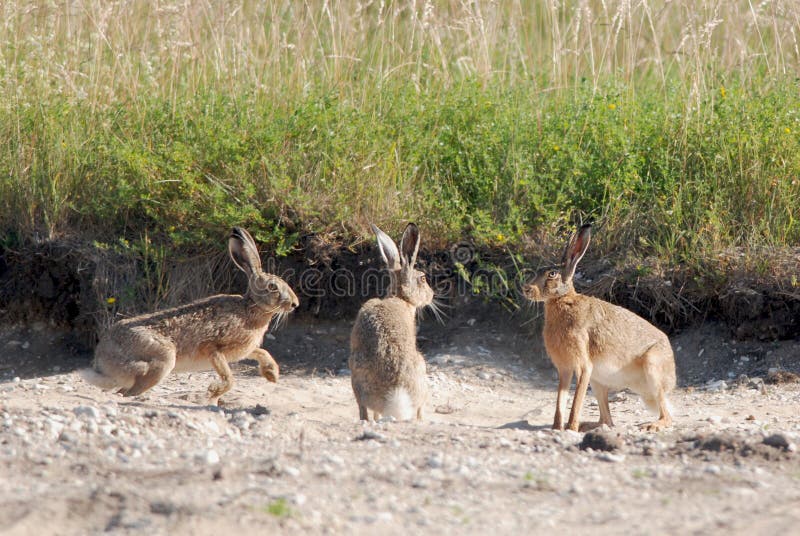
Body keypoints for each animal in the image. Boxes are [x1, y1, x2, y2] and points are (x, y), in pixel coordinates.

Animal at [81, 227, 299, 405]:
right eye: (273, 287)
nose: (295, 304)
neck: (251, 307)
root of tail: (101, 361)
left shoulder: (243, 350)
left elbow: (261, 352)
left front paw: (272, 374)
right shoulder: (214, 349)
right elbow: (229, 378)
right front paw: (213, 392)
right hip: (163, 359)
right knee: (129, 391)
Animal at [349, 223, 433, 421]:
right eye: (423, 279)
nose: (432, 295)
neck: (400, 298)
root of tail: (396, 398)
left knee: (365, 413)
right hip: (421, 369)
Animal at [523, 224, 676, 432]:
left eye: (552, 274)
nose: (526, 288)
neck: (563, 300)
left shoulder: (583, 366)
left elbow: (576, 401)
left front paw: (570, 428)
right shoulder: (564, 368)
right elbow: (560, 400)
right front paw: (557, 428)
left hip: (653, 368)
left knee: (666, 415)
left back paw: (651, 425)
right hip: (597, 382)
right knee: (607, 420)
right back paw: (589, 426)